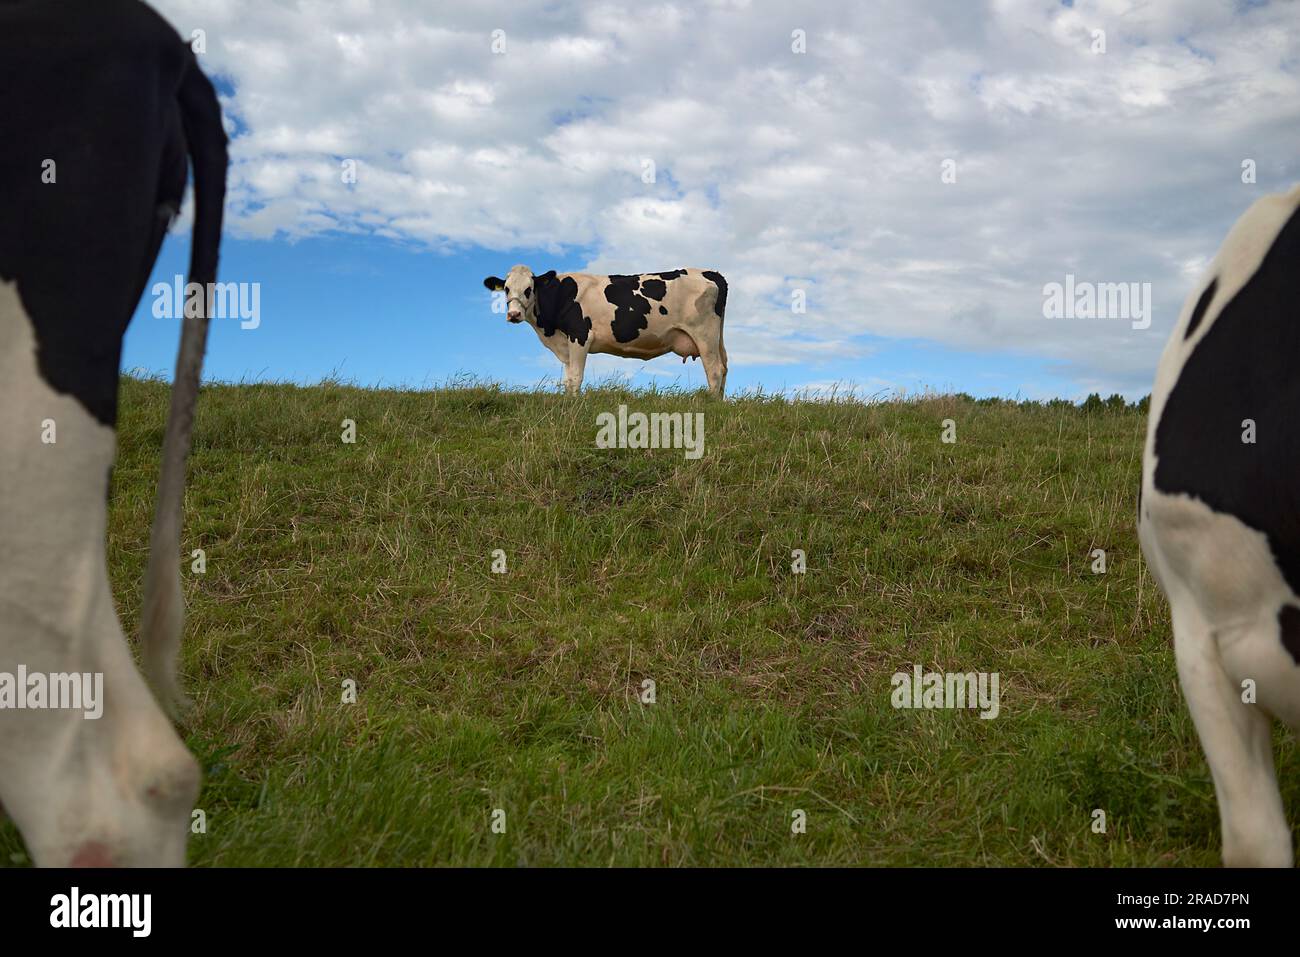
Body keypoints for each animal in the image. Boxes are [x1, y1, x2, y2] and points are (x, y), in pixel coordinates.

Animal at [482, 266, 729, 396]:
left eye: (529, 289)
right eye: (506, 289)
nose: (514, 314)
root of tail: (711, 273)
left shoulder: (580, 335)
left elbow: (576, 377)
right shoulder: (566, 345)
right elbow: (567, 379)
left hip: (704, 333)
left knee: (714, 369)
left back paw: (710, 403)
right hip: (716, 337)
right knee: (724, 367)